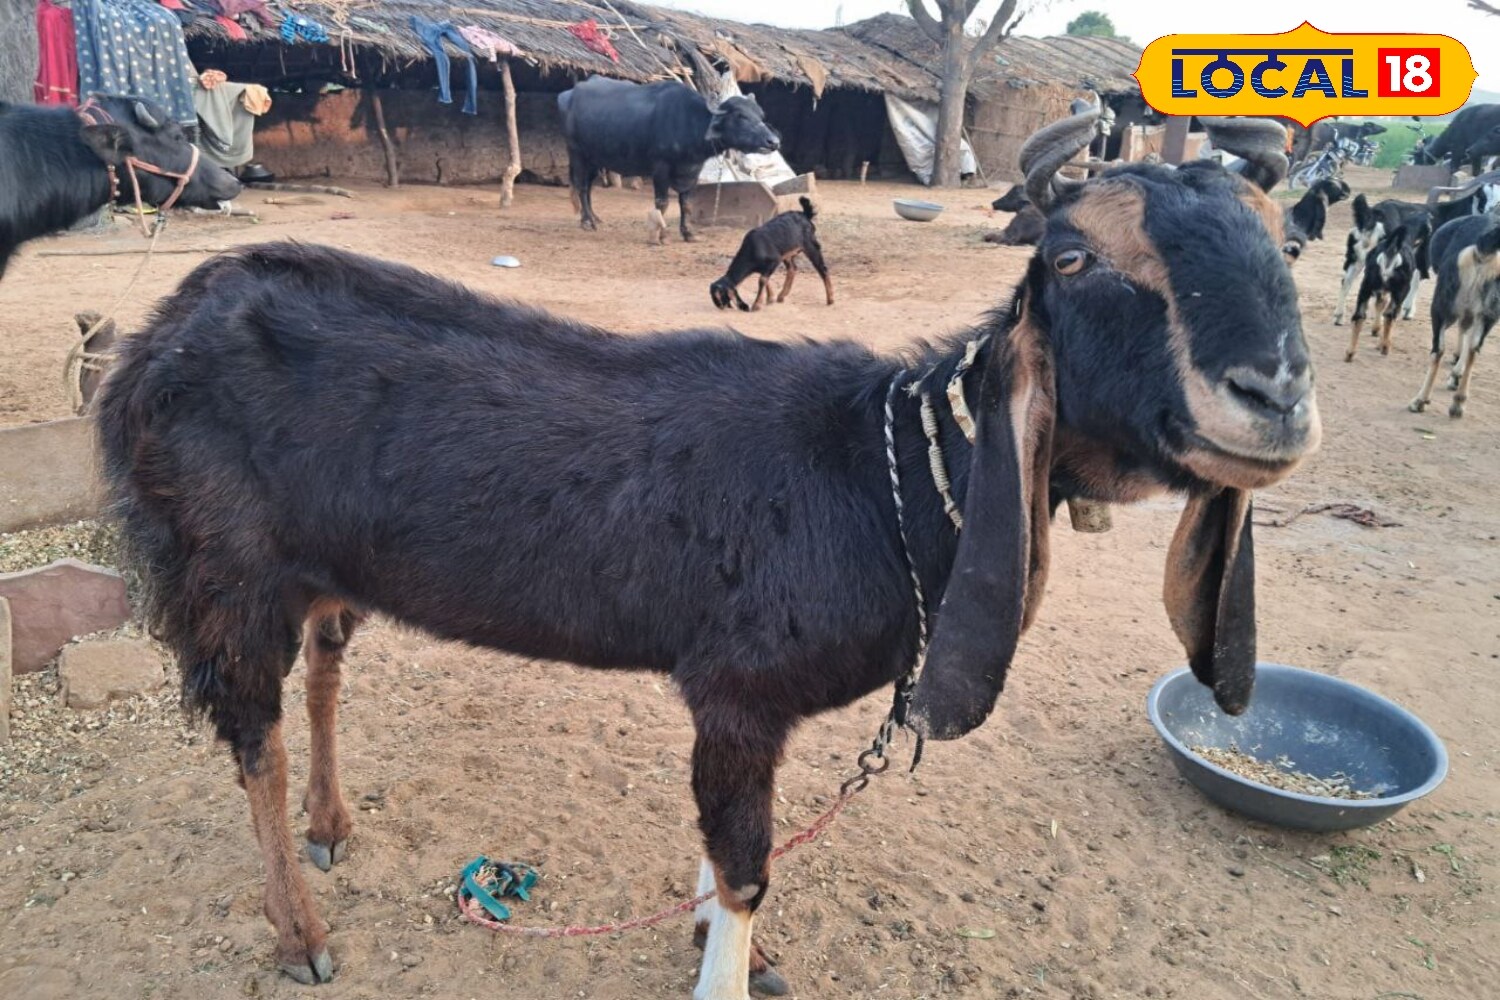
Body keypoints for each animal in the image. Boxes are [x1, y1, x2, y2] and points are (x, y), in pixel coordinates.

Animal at [96, 112, 1317, 1000]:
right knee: (250, 730)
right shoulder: (738, 684)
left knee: (325, 668)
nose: (1274, 396)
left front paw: (727, 941)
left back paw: (333, 826)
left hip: (320, 570)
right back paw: (300, 934)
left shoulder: (736, 702)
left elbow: (723, 844)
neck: (877, 474)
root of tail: (161, 327)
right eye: (1074, 256)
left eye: (1292, 244)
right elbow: (746, 860)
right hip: (221, 563)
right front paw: (731, 960)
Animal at [1346, 220, 1431, 361]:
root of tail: (1393, 248)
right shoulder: (1399, 291)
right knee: (1390, 315)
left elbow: (1380, 304)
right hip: (1400, 290)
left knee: (1359, 316)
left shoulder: (1381, 290)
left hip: (1365, 286)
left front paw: (1376, 330)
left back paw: (1350, 353)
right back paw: (1385, 347)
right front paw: (1381, 342)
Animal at [1409, 216, 1500, 418]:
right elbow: (1466, 334)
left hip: (1441, 307)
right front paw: (1455, 374)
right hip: (1488, 315)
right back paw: (1458, 402)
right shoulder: (1475, 313)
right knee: (1474, 348)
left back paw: (1420, 400)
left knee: (1438, 350)